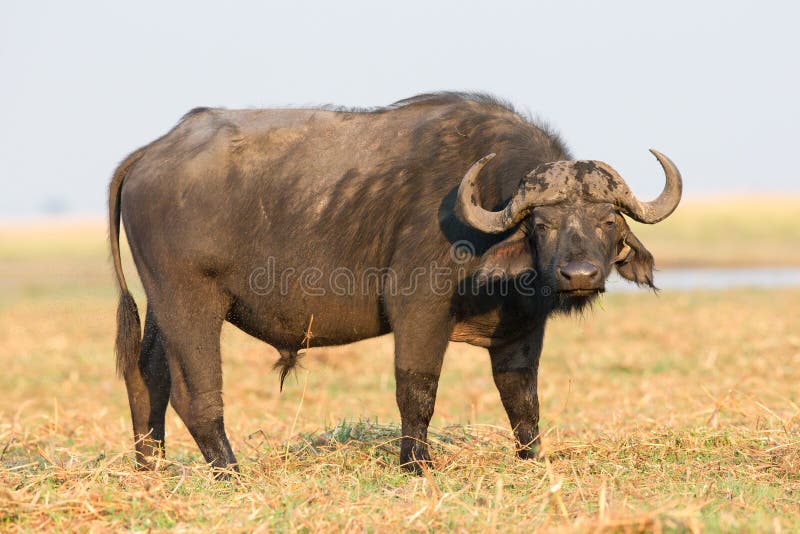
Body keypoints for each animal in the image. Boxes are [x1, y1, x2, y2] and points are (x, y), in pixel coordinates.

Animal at [109, 92, 681, 474]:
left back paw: (150, 467)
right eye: (542, 224)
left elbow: (522, 398)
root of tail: (153, 152)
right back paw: (230, 473)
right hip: (190, 300)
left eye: (607, 220)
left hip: (161, 304)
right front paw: (417, 466)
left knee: (146, 374)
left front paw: (532, 460)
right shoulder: (420, 312)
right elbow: (417, 390)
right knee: (195, 394)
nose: (579, 275)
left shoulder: (520, 332)